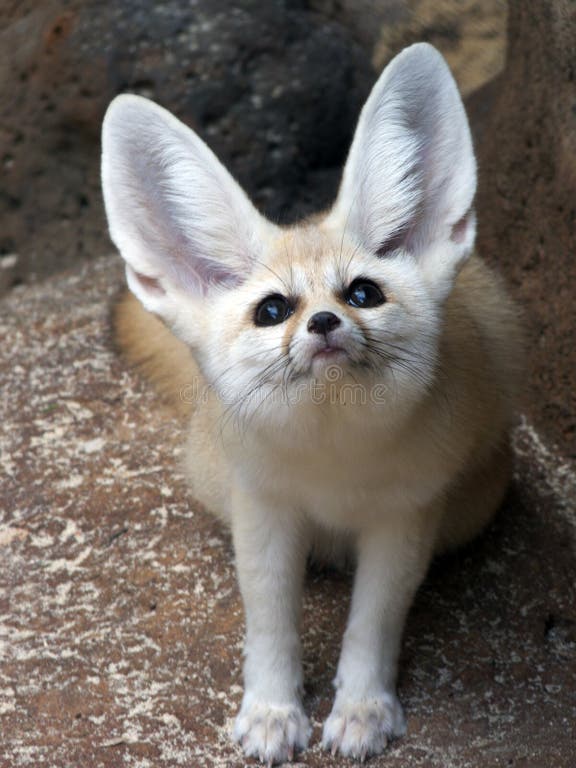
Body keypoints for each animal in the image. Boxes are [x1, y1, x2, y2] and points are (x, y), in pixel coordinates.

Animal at [101, 43, 523, 764]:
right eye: (273, 310)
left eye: (362, 294)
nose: (324, 321)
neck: (333, 463)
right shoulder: (264, 511)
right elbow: (271, 623)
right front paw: (272, 711)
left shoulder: (404, 519)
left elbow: (372, 627)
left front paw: (361, 709)